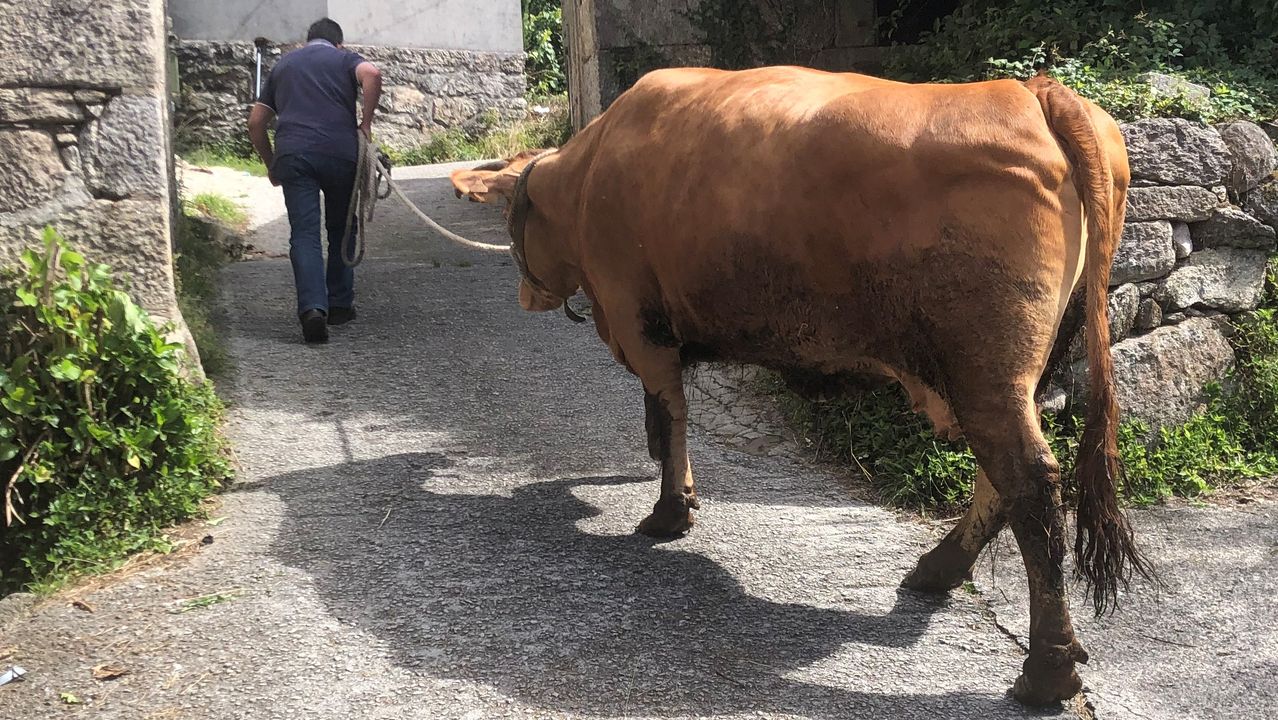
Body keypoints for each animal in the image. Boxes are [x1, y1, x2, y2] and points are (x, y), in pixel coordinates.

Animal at [449, 67, 1151, 705]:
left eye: (511, 216)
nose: (526, 294)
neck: (589, 173)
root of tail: (1030, 90)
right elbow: (664, 422)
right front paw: (683, 498)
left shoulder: (639, 324)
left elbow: (667, 417)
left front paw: (669, 512)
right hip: (1012, 371)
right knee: (1001, 480)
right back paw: (939, 570)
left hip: (985, 368)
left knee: (1029, 483)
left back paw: (1046, 671)